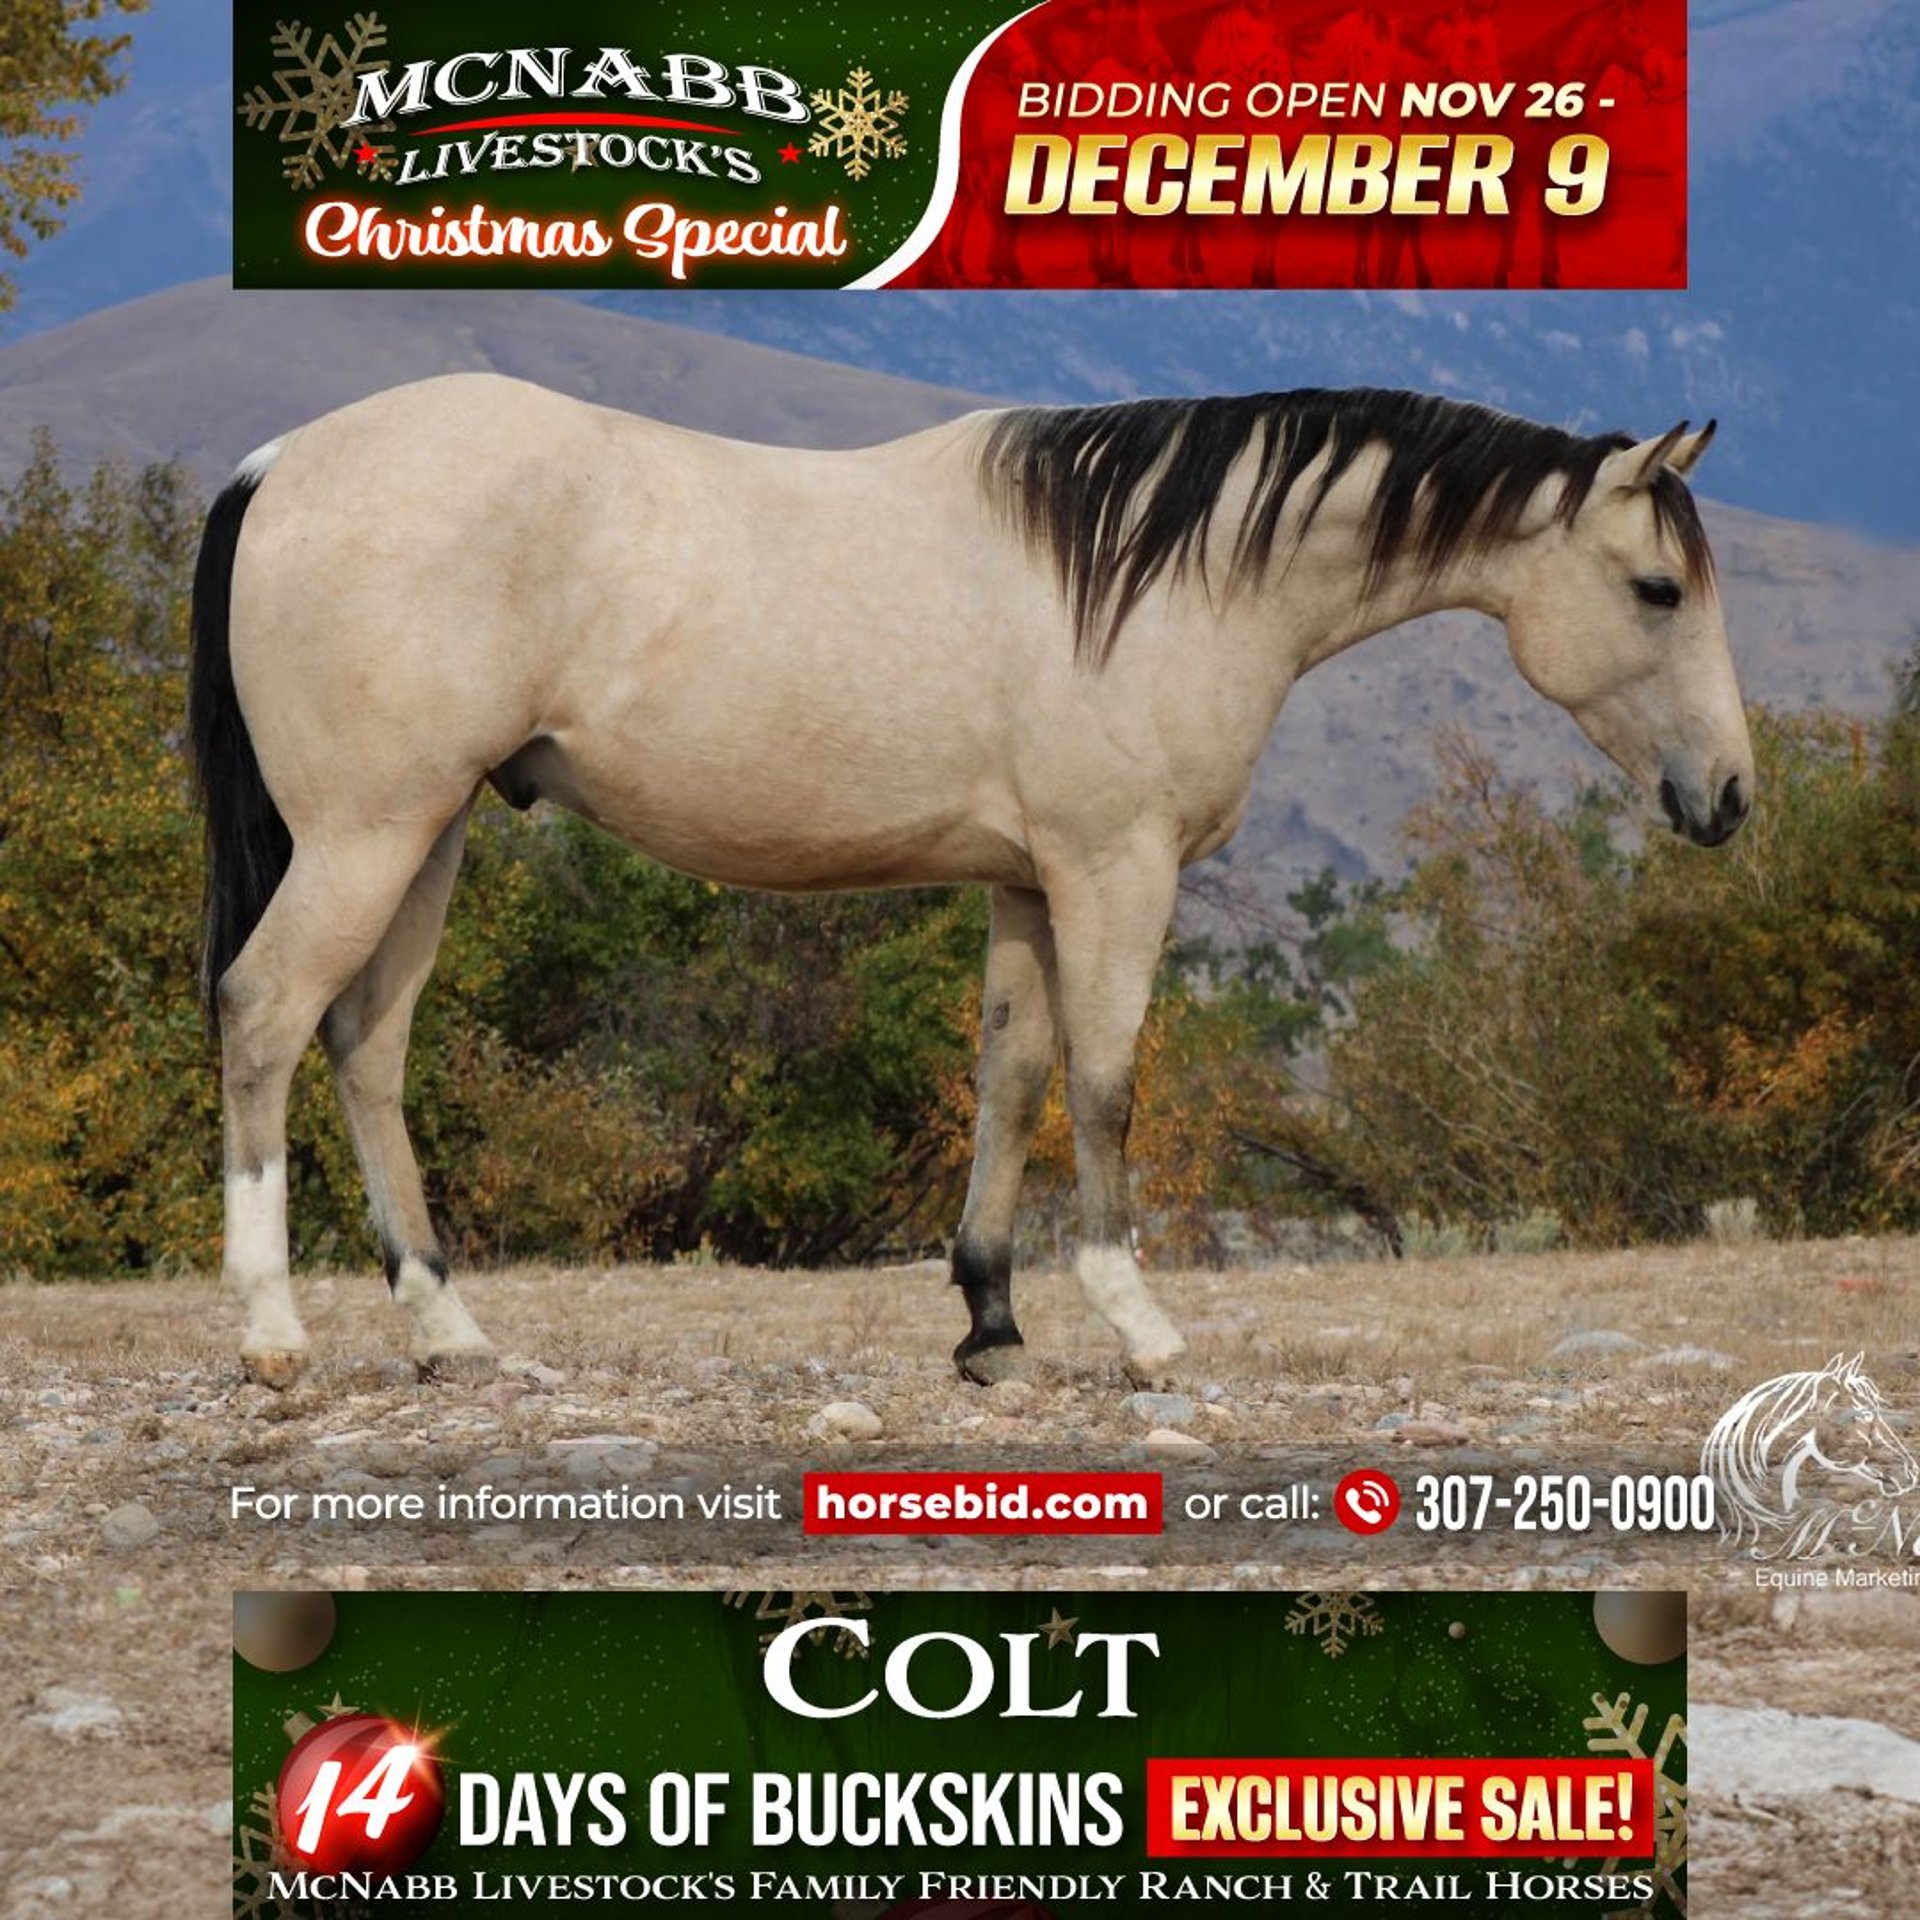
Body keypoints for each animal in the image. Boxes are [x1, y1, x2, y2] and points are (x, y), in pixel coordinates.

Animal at [188, 376, 1751, 1389]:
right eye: (1659, 590)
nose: (1729, 798)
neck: (1159, 572)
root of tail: (278, 463)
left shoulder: (1025, 884)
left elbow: (1011, 1079)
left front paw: (991, 1324)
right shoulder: (1114, 871)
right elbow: (1108, 1085)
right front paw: (1135, 1322)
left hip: (430, 833)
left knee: (366, 1046)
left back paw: (447, 1333)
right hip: (370, 833)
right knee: (266, 1015)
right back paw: (271, 1335)